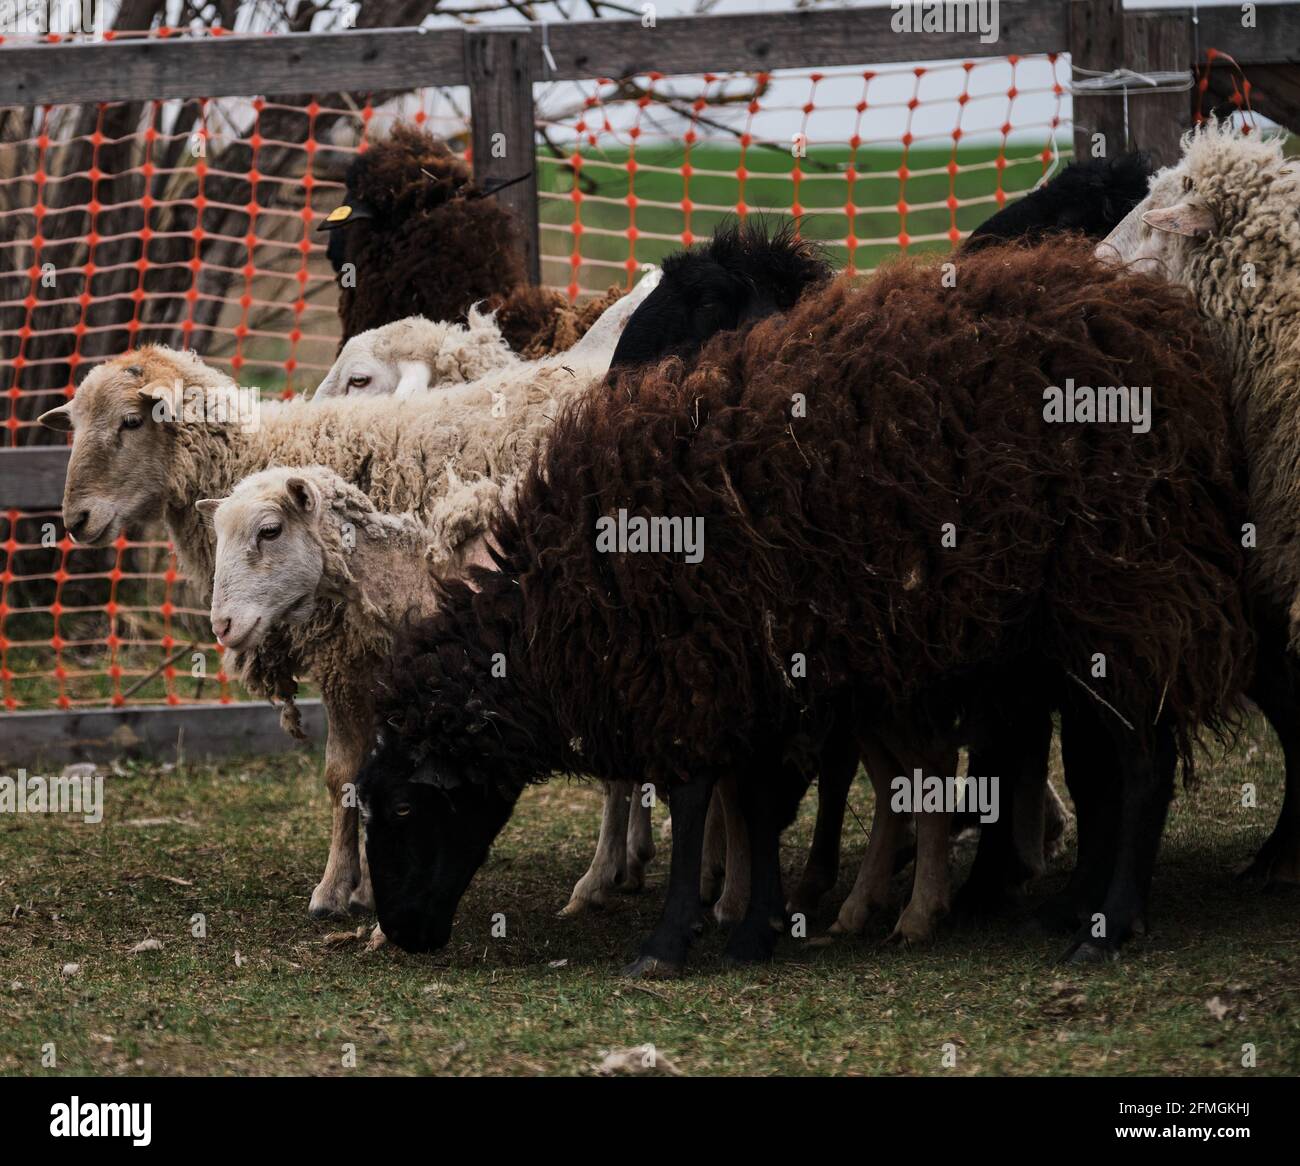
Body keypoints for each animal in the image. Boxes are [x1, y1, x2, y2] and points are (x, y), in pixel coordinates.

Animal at [37, 290, 654, 920]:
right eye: (76, 424)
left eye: (131, 421)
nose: (75, 518)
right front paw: (362, 883)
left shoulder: (348, 651)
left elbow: (342, 774)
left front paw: (335, 888)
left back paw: (600, 877)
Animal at [355, 239, 1253, 970]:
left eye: (401, 806)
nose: (403, 933)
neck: (568, 599)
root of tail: (1163, 333)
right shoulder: (755, 662)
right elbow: (751, 798)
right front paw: (756, 926)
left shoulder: (698, 657)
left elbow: (701, 795)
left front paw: (673, 941)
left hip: (1121, 595)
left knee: (1140, 760)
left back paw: (1106, 924)